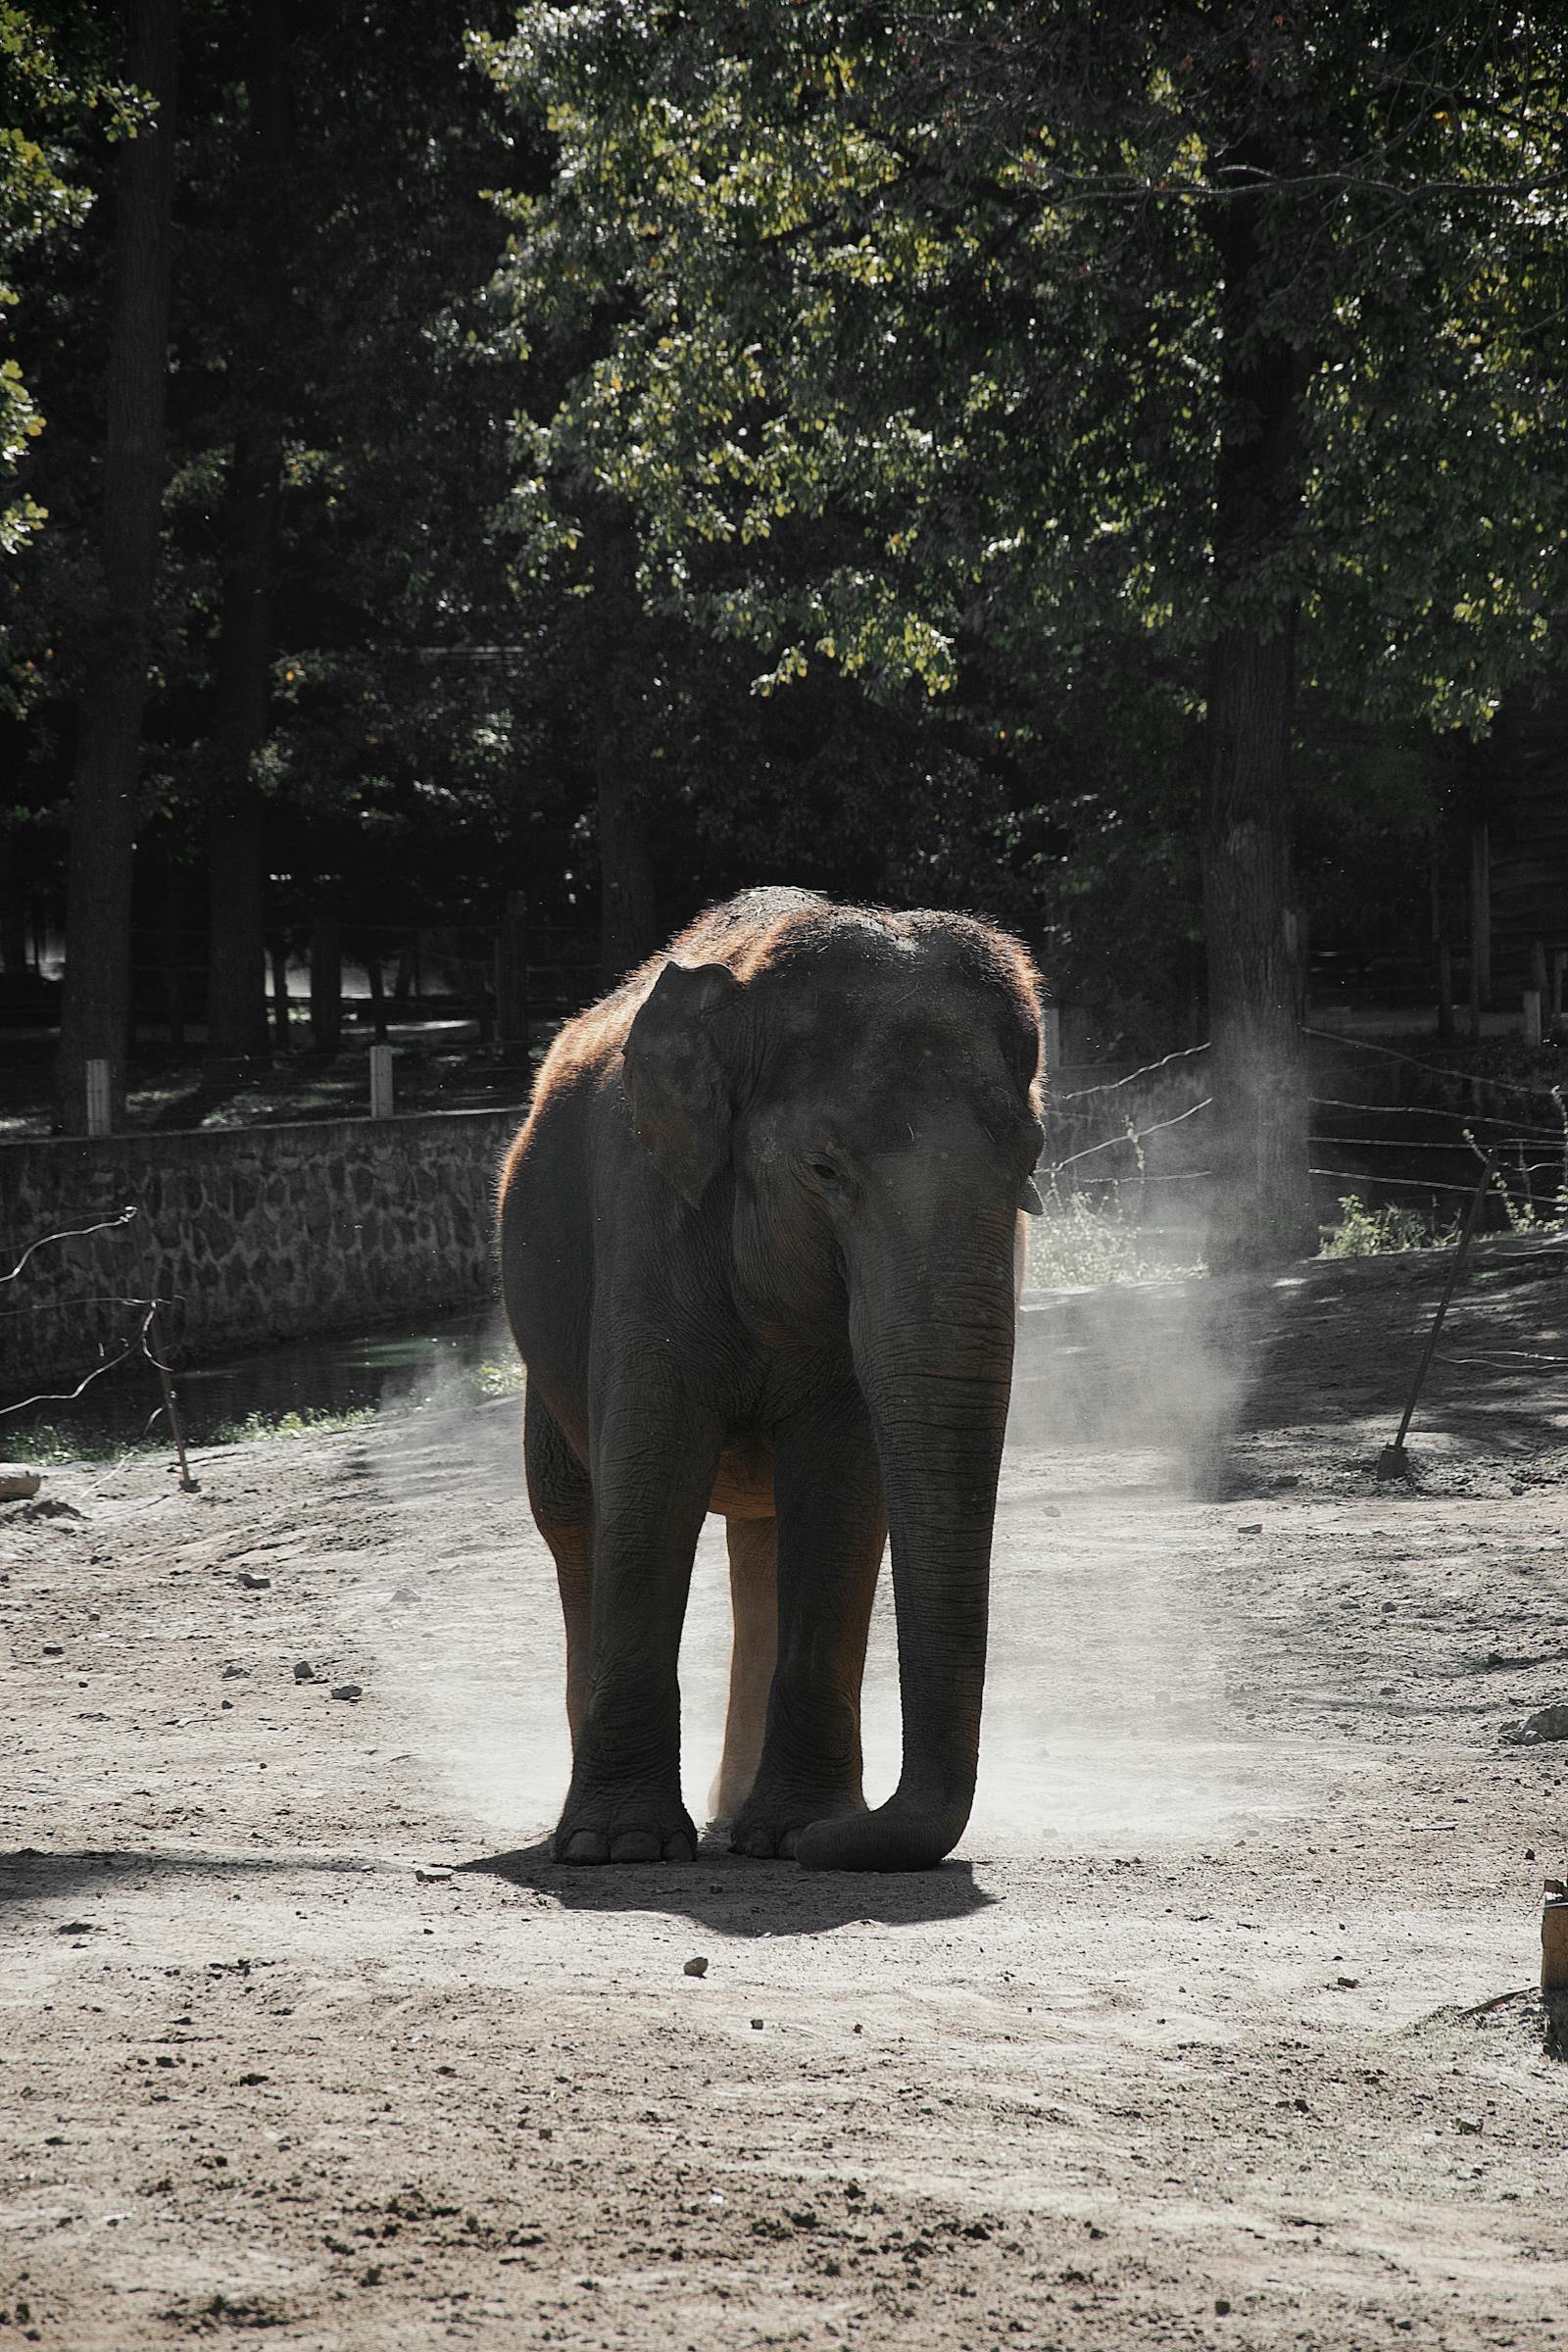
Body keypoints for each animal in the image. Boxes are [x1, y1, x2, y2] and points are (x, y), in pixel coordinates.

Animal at [498, 887, 1045, 1871]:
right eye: (823, 1169)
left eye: (1031, 1165)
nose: (845, 1839)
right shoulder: (648, 1219)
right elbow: (653, 1476)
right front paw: (621, 1848)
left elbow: (839, 1490)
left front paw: (792, 1832)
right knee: (571, 1520)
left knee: (763, 1545)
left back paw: (737, 1823)